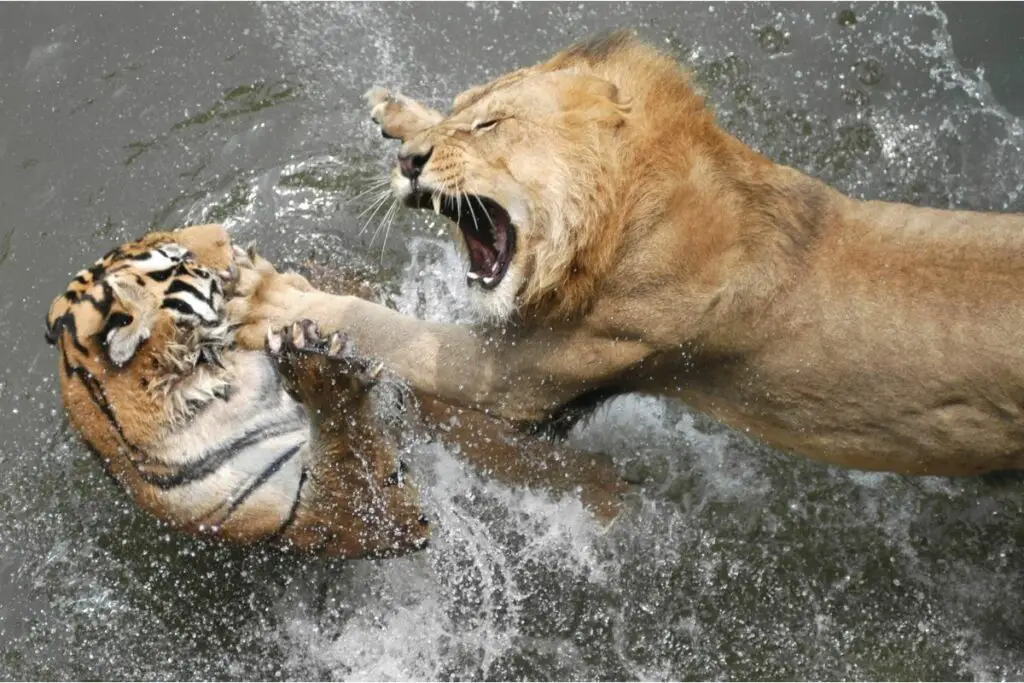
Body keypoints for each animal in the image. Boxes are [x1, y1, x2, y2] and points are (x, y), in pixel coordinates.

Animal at [45, 224, 628, 558]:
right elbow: (351, 456)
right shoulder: (337, 520)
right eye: (179, 261)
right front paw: (316, 370)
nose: (226, 236)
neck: (220, 381)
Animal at [226, 30, 1024, 477]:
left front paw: (267, 294)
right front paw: (397, 110)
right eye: (462, 113)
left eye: (490, 126)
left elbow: (387, 327)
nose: (409, 163)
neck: (627, 207)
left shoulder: (515, 373)